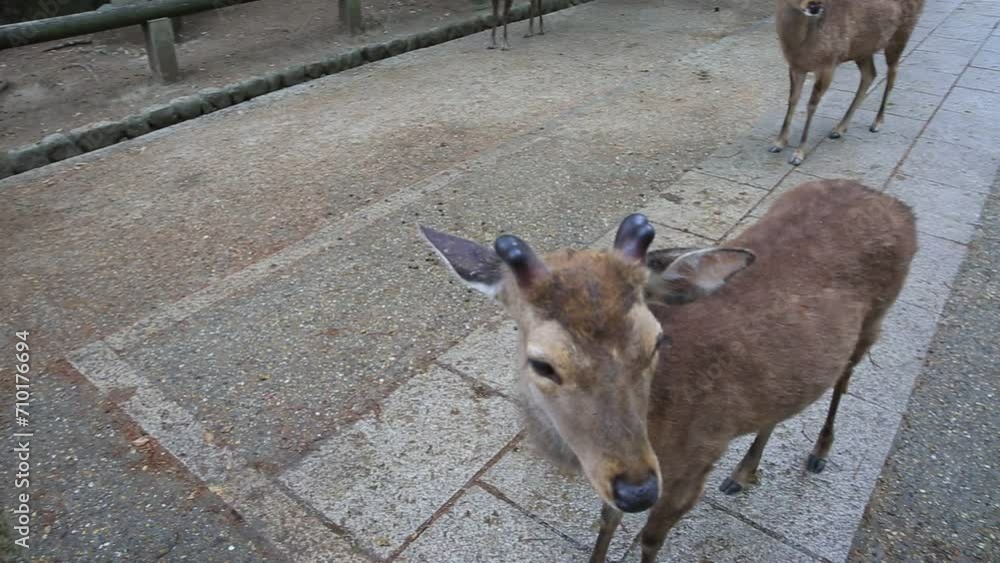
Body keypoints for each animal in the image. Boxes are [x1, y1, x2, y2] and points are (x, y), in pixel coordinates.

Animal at [421, 178, 916, 562]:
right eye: (543, 363)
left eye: (656, 340)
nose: (638, 491)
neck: (661, 427)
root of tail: (898, 204)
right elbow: (606, 519)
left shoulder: (697, 460)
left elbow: (651, 539)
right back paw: (743, 473)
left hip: (877, 318)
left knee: (844, 380)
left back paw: (818, 452)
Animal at [770, 0, 925, 165]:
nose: (815, 6)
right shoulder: (796, 67)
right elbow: (792, 100)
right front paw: (778, 143)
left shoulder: (828, 64)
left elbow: (811, 105)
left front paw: (798, 154)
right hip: (863, 49)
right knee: (870, 74)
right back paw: (839, 129)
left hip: (902, 33)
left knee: (892, 72)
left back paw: (877, 123)